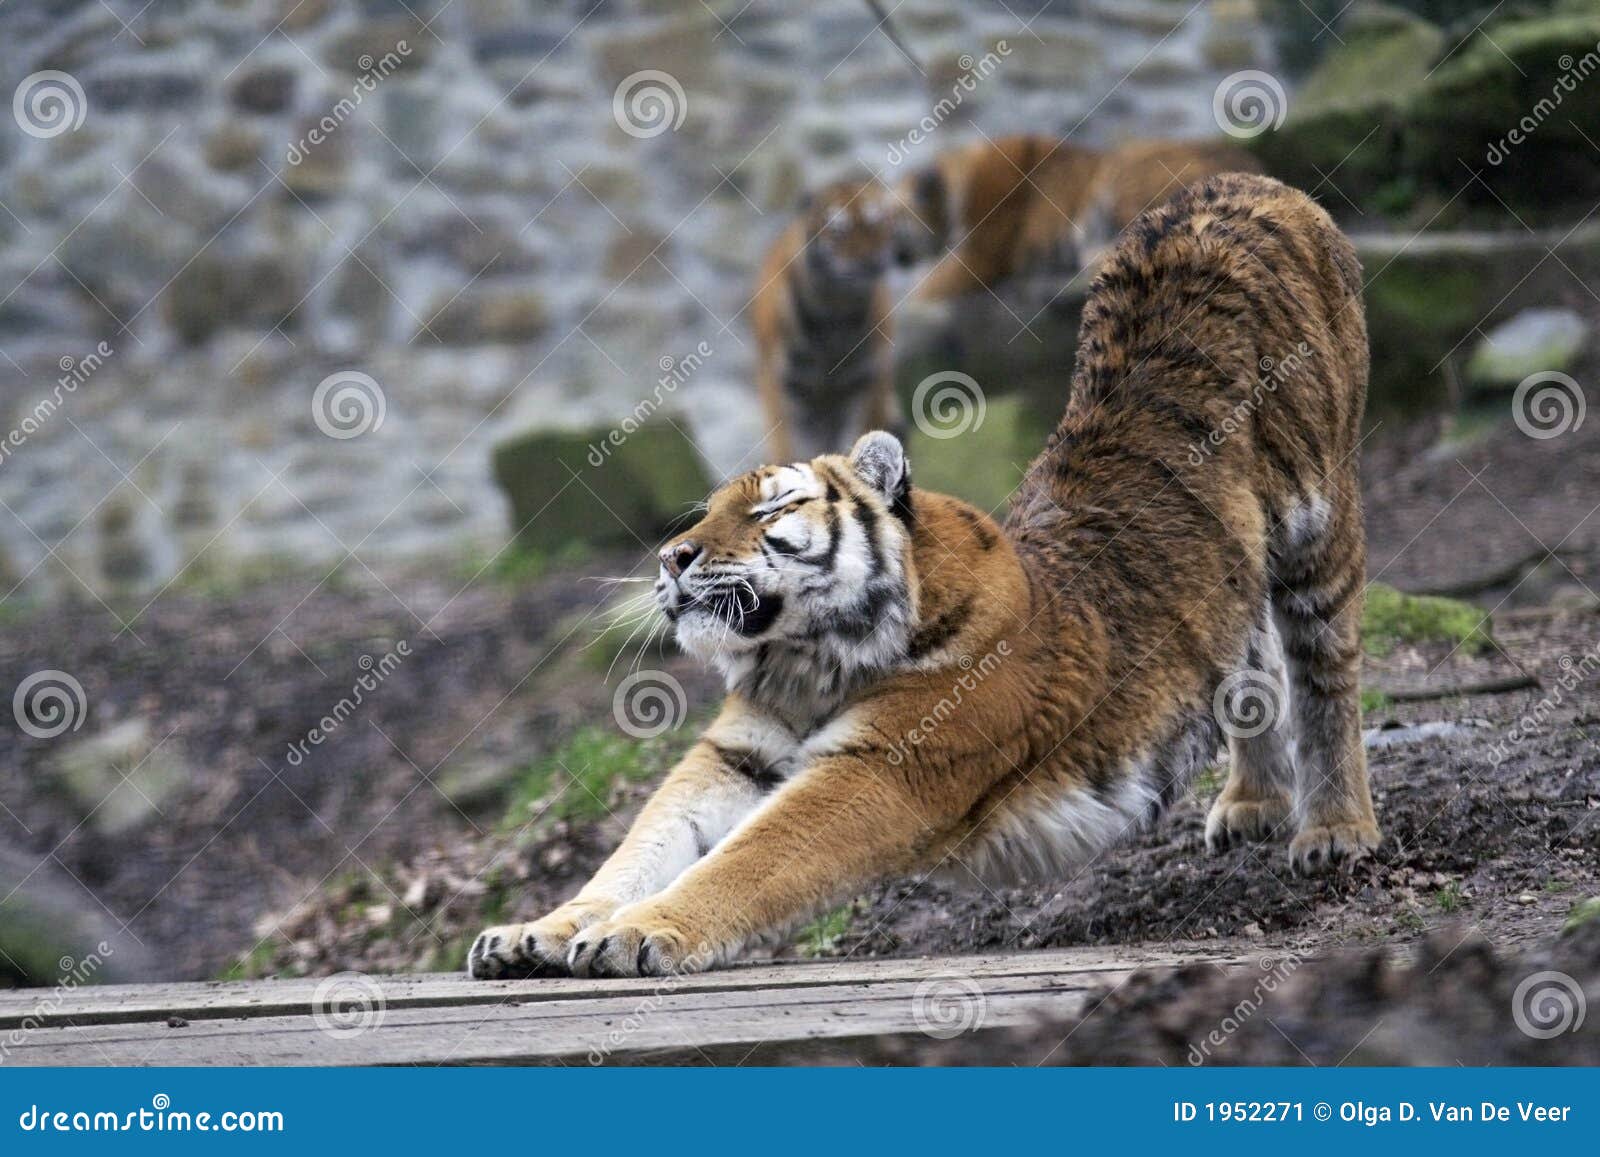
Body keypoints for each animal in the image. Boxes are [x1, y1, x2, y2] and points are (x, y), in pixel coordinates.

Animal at [752, 176, 902, 464]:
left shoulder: (866, 381)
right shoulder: (780, 383)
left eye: (875, 223)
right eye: (840, 232)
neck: (835, 307)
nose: (872, 261)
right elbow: (786, 446)